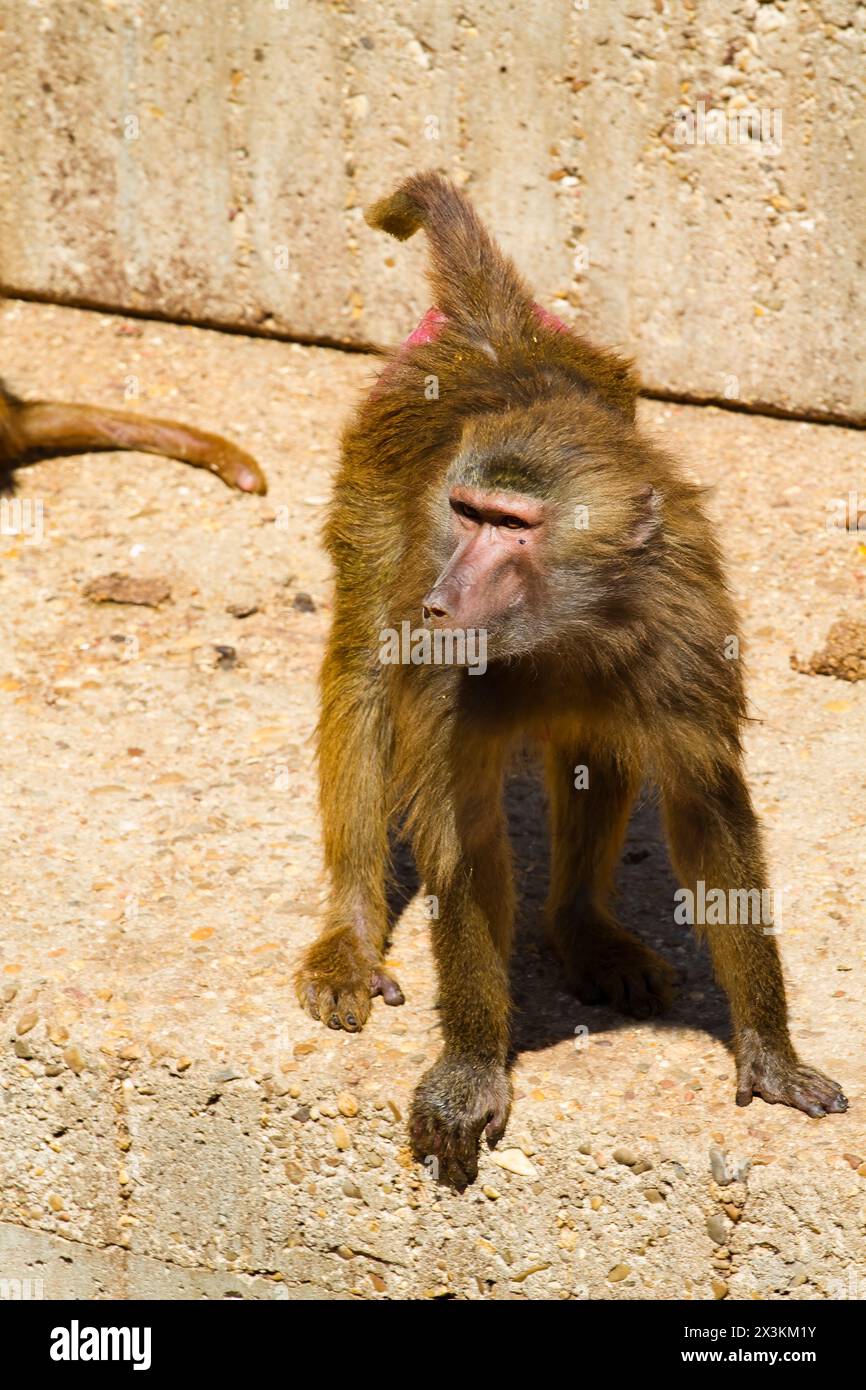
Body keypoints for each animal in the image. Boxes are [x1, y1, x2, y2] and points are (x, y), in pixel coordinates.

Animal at [295, 171, 847, 1188]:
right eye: (465, 513)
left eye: (513, 527)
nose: (444, 599)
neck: (569, 628)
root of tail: (501, 334)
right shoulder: (450, 673)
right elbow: (464, 838)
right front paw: (474, 1065)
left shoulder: (682, 639)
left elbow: (707, 811)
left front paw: (769, 1047)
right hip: (375, 492)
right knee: (361, 678)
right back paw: (351, 927)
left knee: (595, 741)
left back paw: (582, 927)